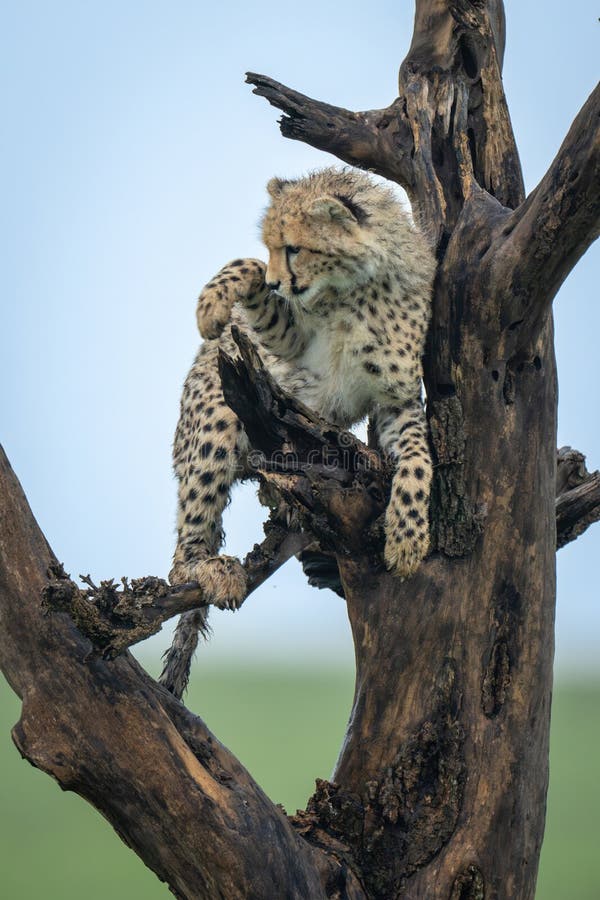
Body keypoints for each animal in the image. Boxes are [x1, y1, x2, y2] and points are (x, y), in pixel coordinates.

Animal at [160, 168, 436, 698]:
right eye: (270, 247)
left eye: (294, 248)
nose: (277, 281)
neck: (354, 290)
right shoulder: (287, 340)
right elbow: (242, 266)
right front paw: (212, 306)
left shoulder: (396, 401)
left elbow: (417, 460)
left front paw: (408, 535)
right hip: (220, 412)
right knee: (182, 551)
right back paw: (209, 565)